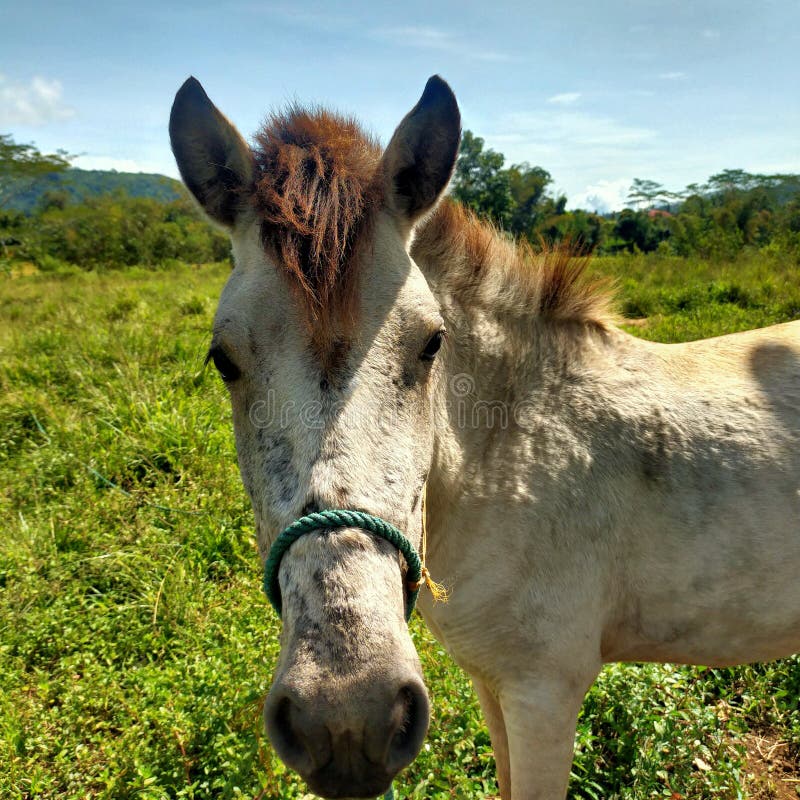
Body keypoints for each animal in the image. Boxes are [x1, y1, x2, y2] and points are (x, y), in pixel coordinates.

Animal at [169, 75, 800, 799]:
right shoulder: (492, 684)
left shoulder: (544, 694)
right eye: (224, 360)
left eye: (431, 344)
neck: (508, 466)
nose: (347, 719)